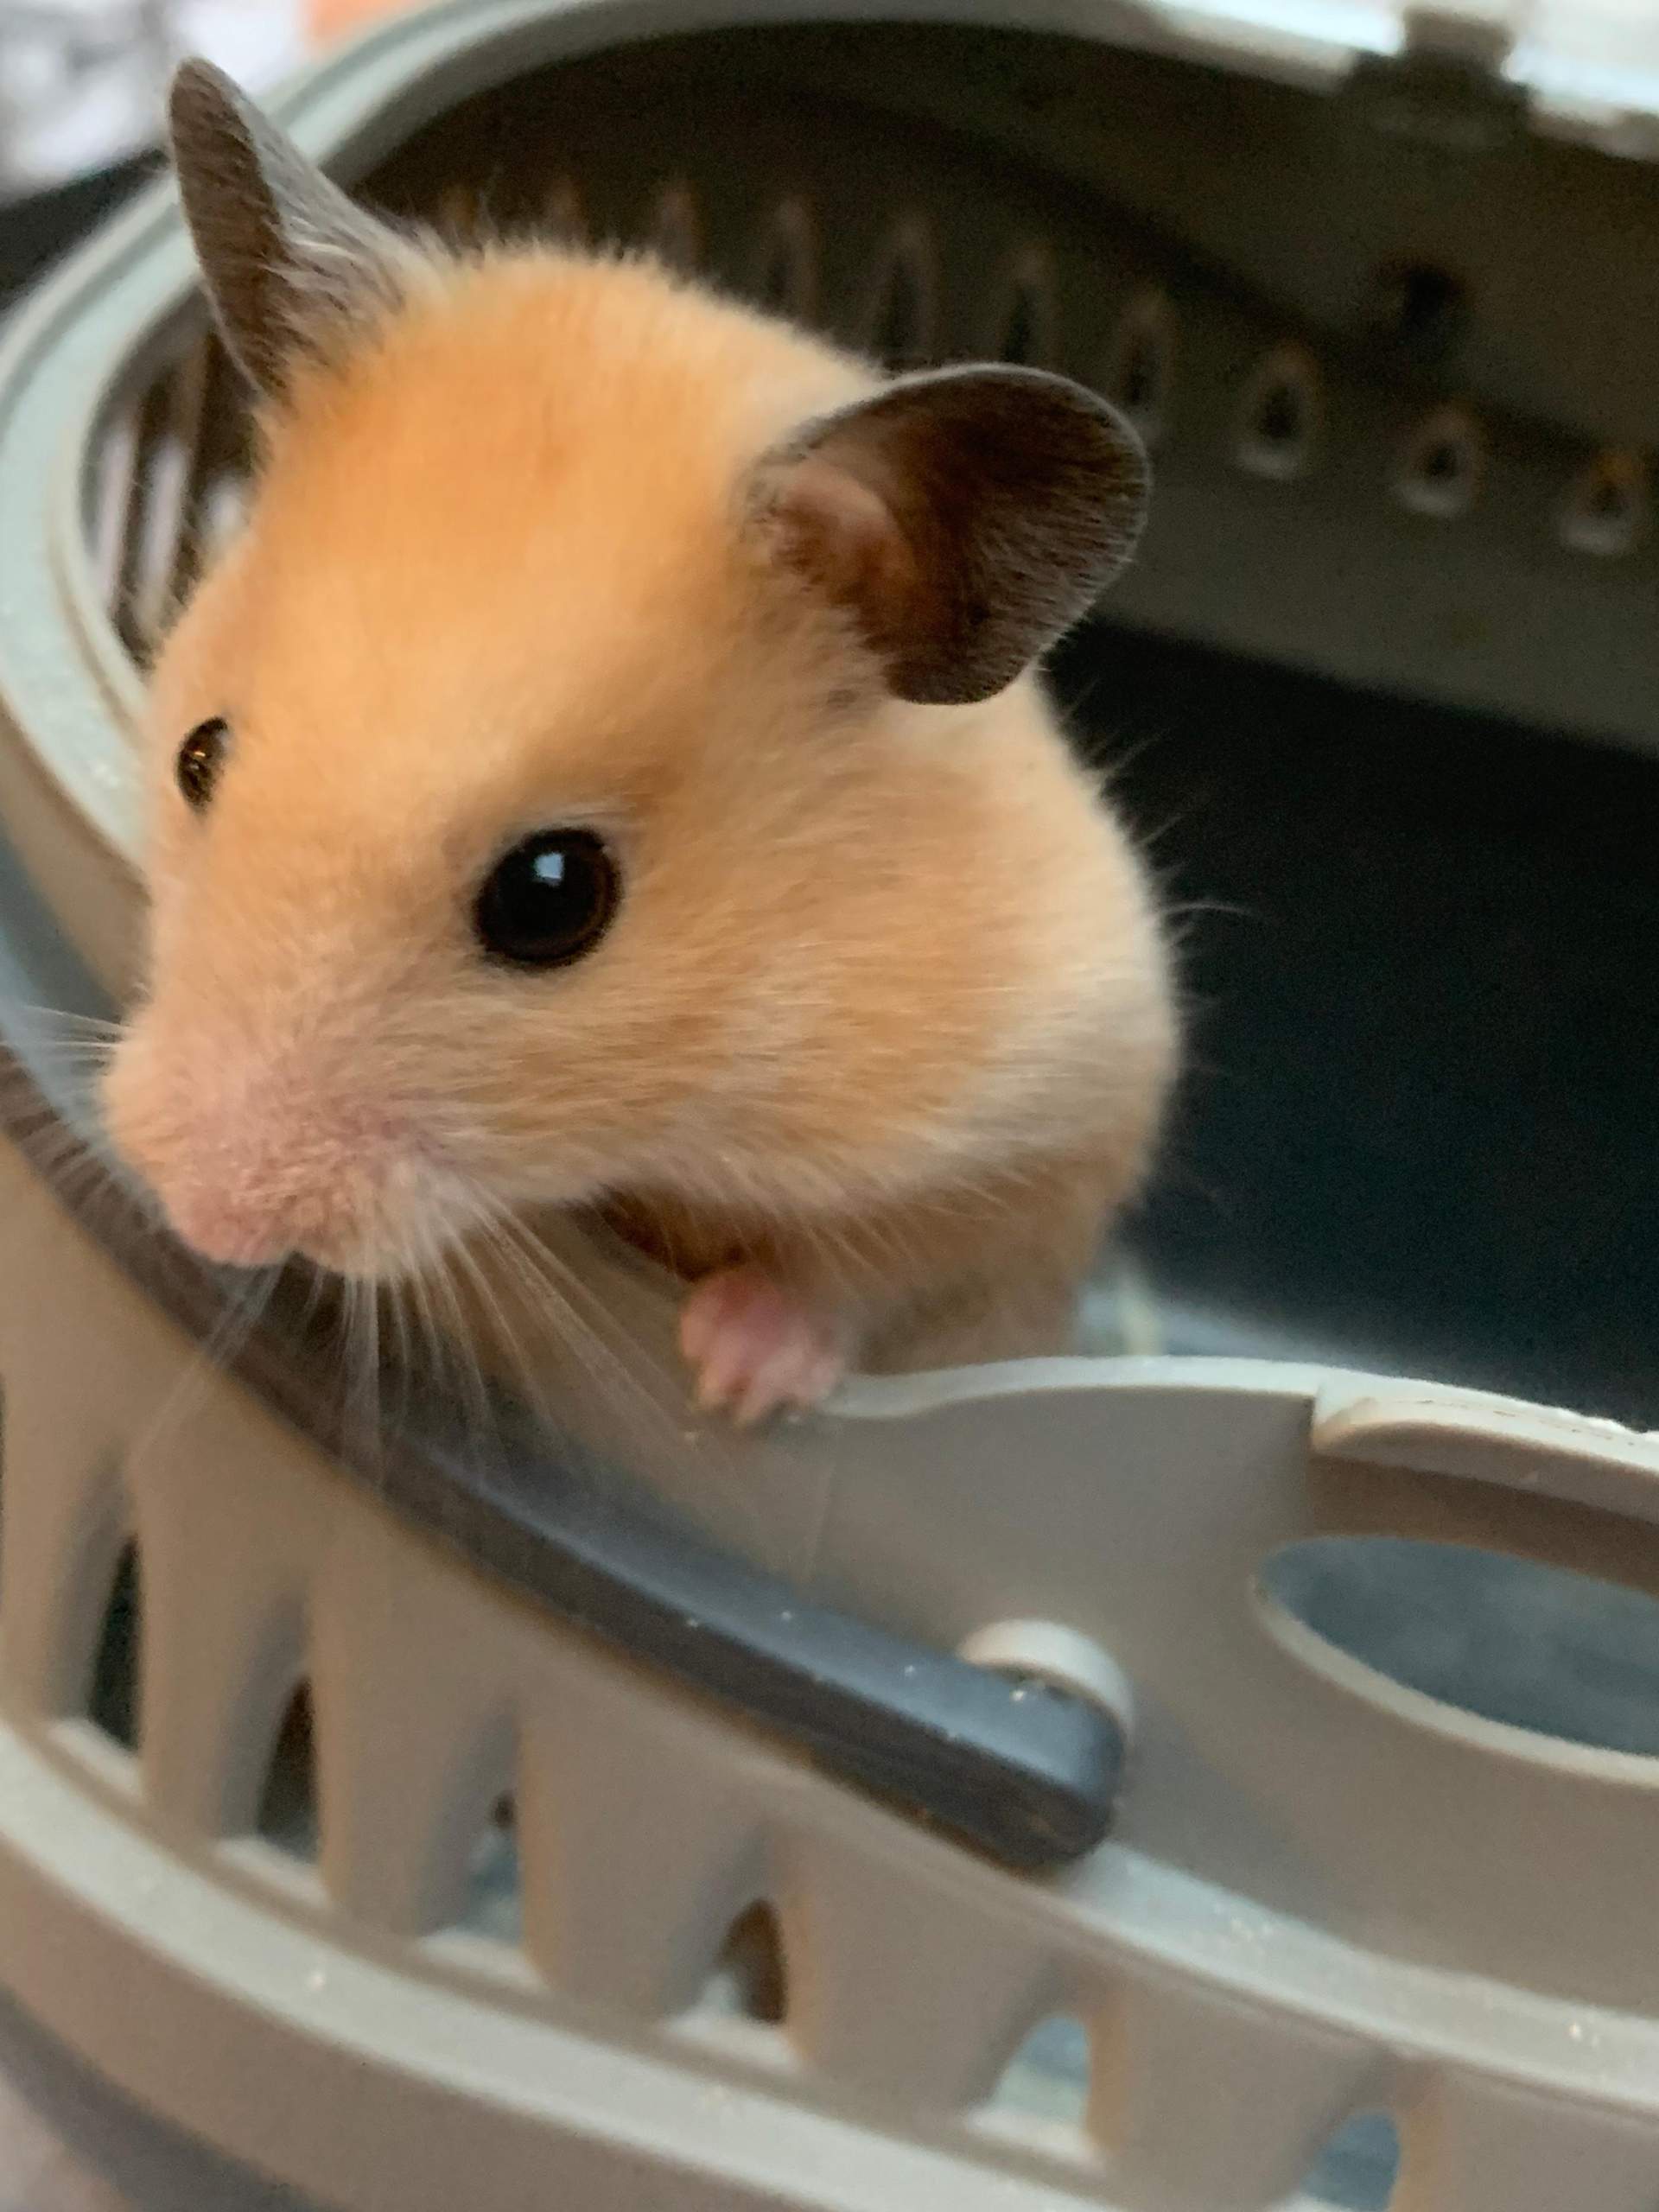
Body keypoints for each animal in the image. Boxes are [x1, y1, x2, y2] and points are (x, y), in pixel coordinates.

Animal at [102, 61, 1178, 1428]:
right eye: (200, 756)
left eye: (554, 897)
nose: (207, 1218)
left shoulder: (1054, 1124)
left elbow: (881, 1266)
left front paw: (735, 1379)